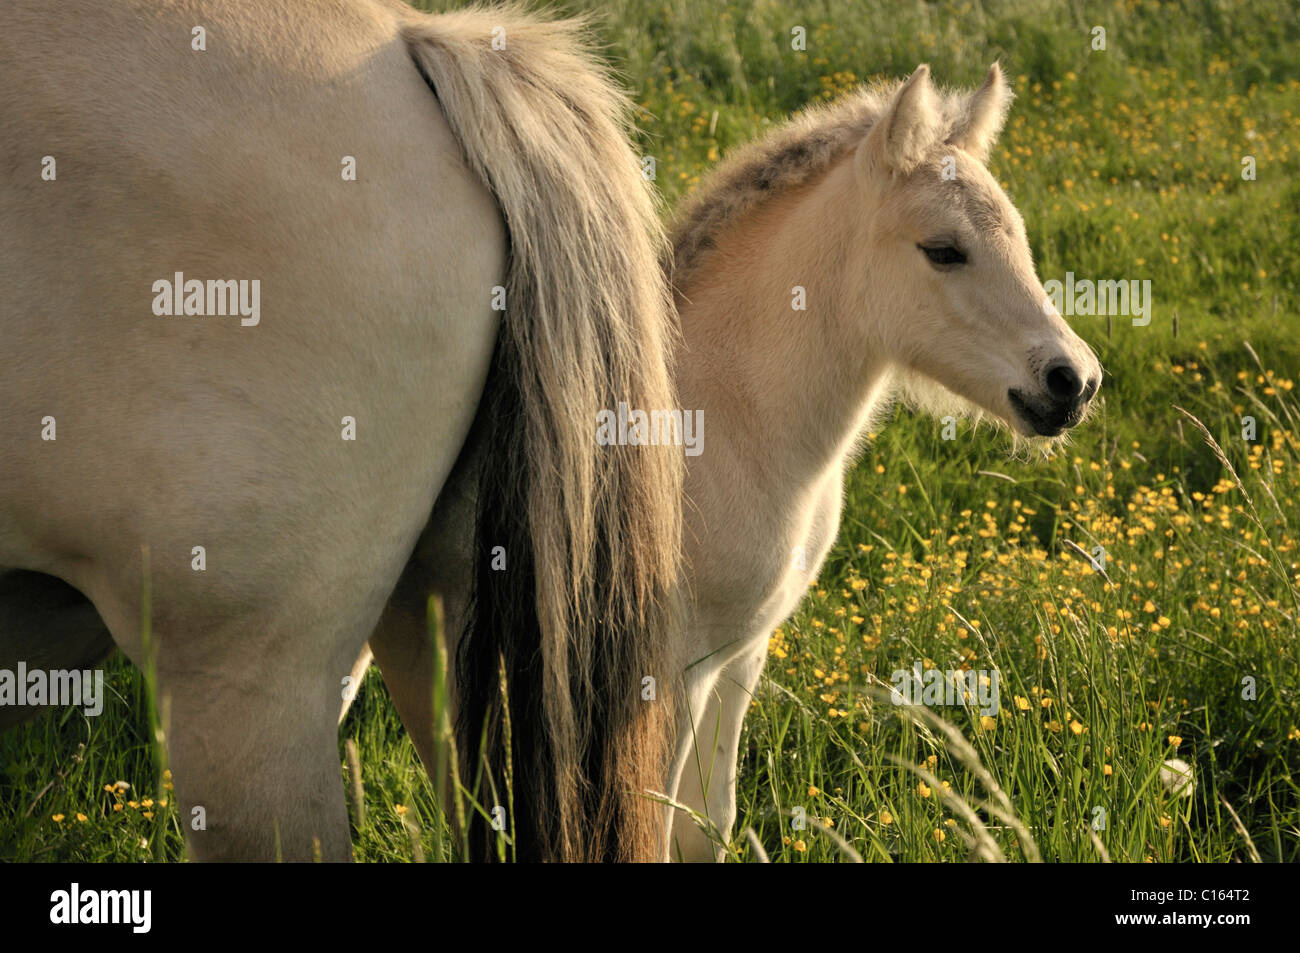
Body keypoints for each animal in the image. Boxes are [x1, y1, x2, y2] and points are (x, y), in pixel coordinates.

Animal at [416, 60, 1104, 861]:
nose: (1073, 381)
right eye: (944, 249)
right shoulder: (664, 674)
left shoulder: (740, 654)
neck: (721, 419)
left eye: (1018, 236)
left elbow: (707, 824)